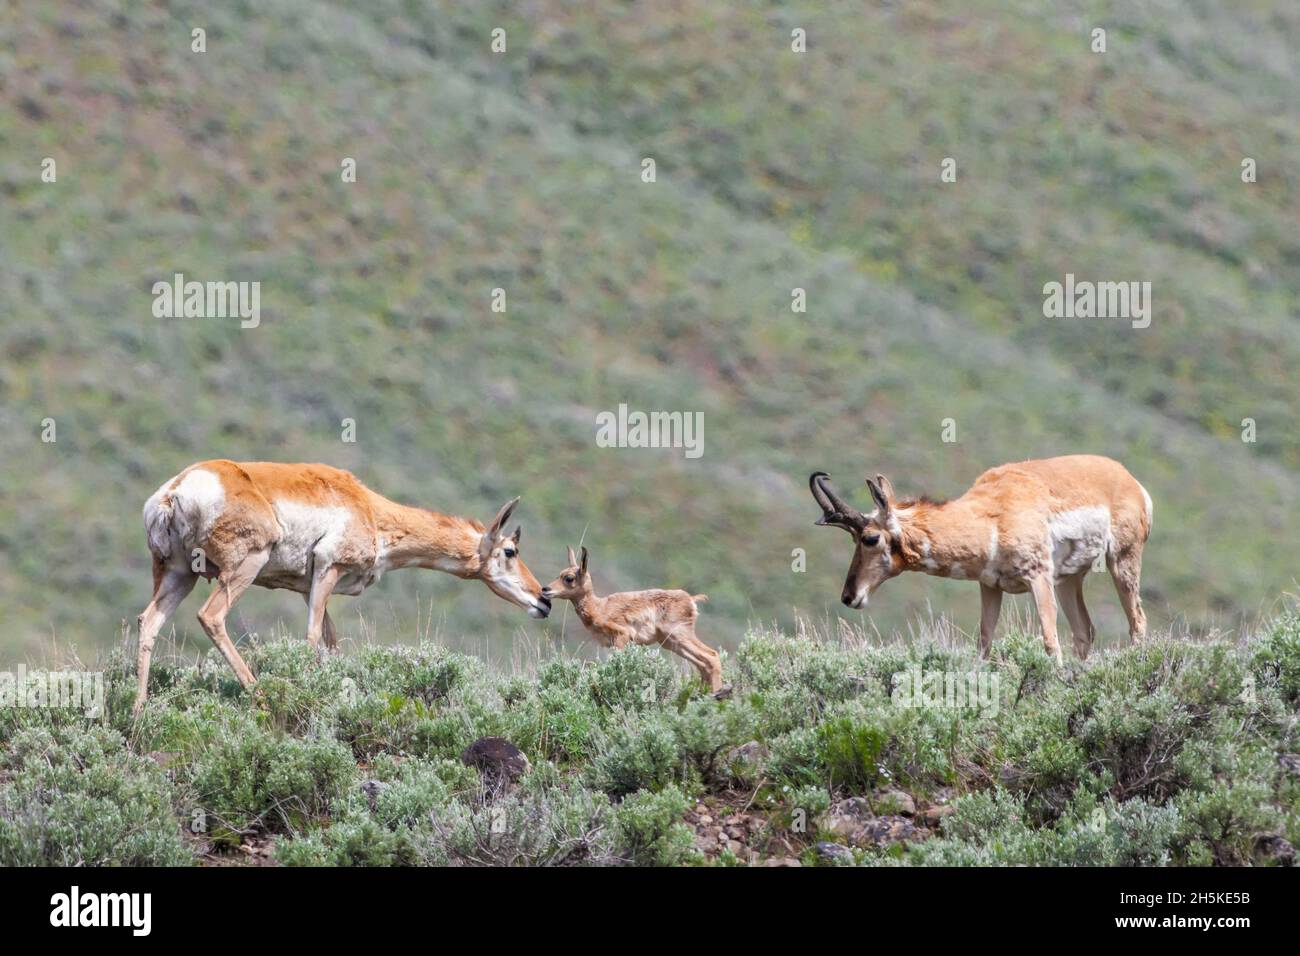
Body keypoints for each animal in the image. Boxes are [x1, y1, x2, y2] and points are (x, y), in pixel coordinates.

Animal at [133, 459, 551, 713]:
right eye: (510, 551)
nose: (543, 599)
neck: (370, 509)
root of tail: (177, 489)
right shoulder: (327, 570)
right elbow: (313, 638)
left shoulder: (309, 588)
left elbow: (331, 645)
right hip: (243, 567)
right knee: (211, 616)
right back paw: (262, 696)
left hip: (178, 574)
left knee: (148, 621)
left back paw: (139, 710)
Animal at [540, 546, 727, 694]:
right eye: (559, 574)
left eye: (569, 578)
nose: (545, 589)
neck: (600, 607)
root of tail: (690, 599)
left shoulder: (622, 636)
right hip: (671, 642)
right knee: (703, 663)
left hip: (679, 636)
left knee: (711, 656)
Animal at [809, 455, 1153, 663]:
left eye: (870, 538)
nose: (848, 596)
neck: (991, 514)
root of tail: (1127, 477)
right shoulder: (990, 587)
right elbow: (984, 644)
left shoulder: (1039, 577)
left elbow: (1049, 639)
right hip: (1069, 579)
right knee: (1084, 631)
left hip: (1121, 560)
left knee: (1137, 622)